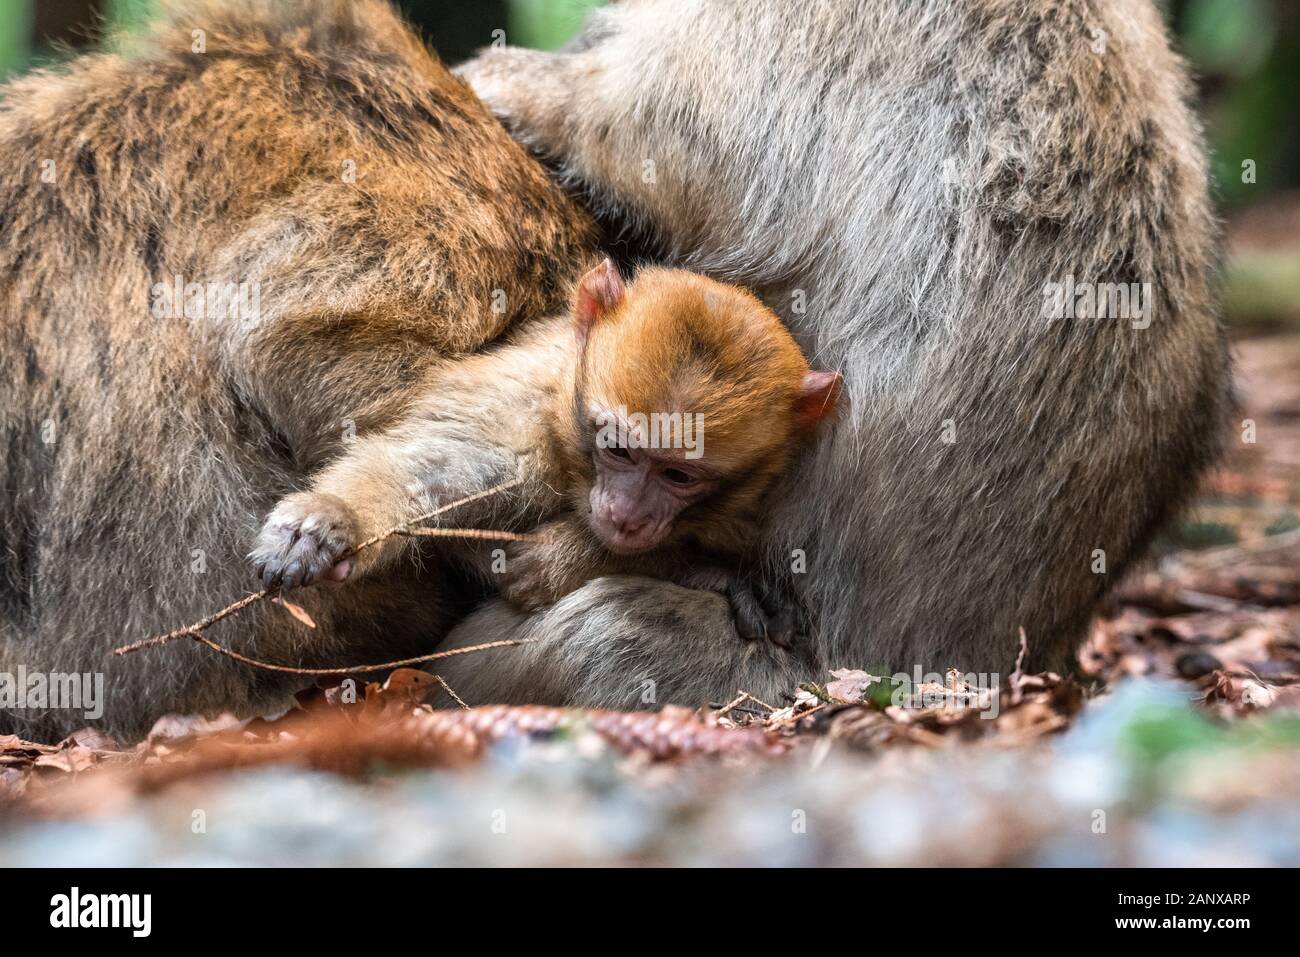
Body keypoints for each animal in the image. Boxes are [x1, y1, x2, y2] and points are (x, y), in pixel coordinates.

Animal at [247, 259, 840, 642]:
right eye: (618, 449)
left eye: (678, 476)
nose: (626, 516)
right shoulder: (520, 423)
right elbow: (423, 474)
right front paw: (334, 518)